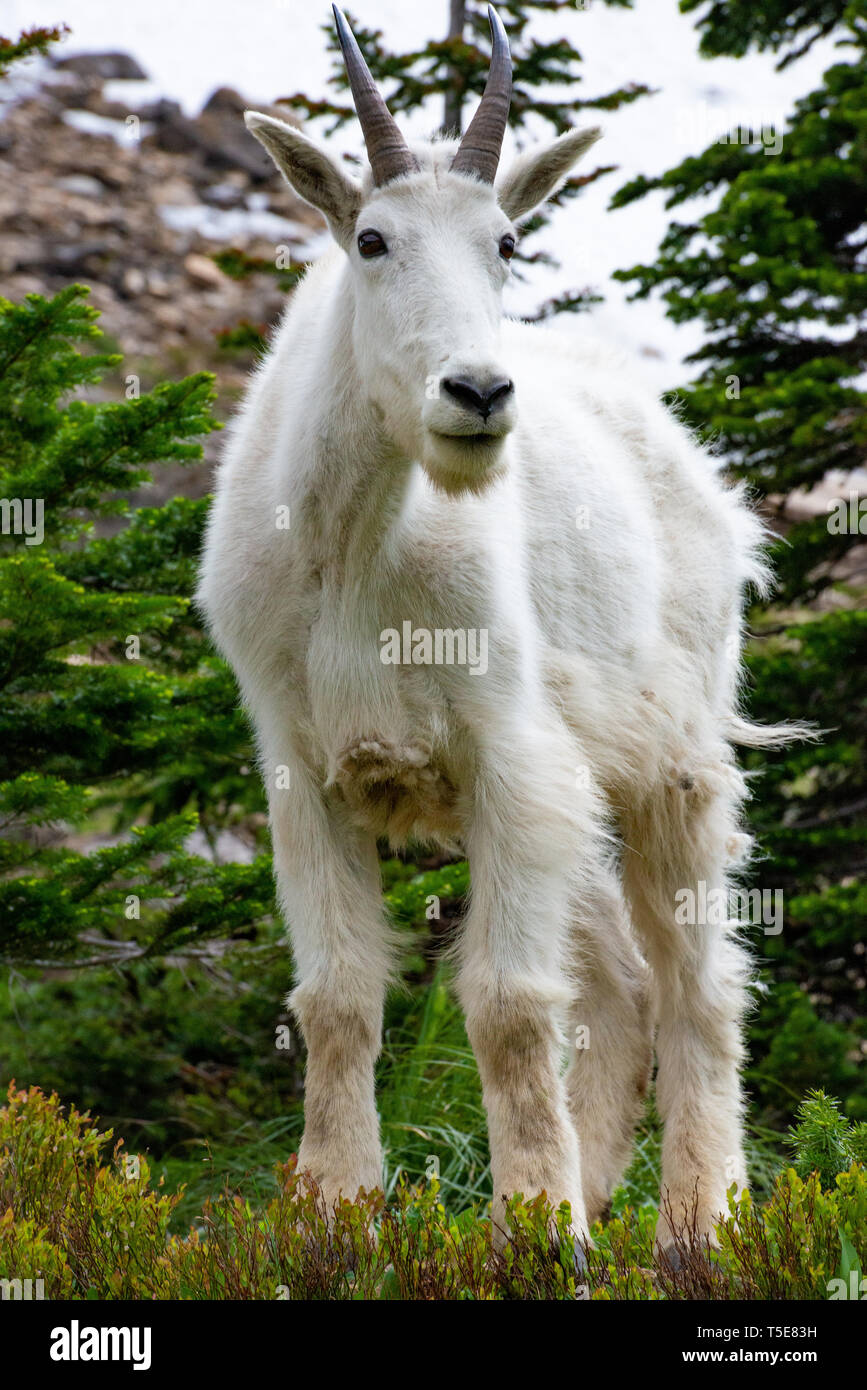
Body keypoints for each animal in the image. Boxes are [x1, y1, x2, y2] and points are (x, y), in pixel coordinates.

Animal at [197, 4, 778, 1253]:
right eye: (370, 238)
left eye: (508, 243)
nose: (478, 393)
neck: (355, 545)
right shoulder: (302, 766)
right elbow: (336, 1000)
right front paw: (337, 1215)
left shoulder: (509, 750)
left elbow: (509, 1006)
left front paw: (537, 1231)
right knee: (619, 983)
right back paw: (606, 1194)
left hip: (675, 760)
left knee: (698, 984)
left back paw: (697, 1223)